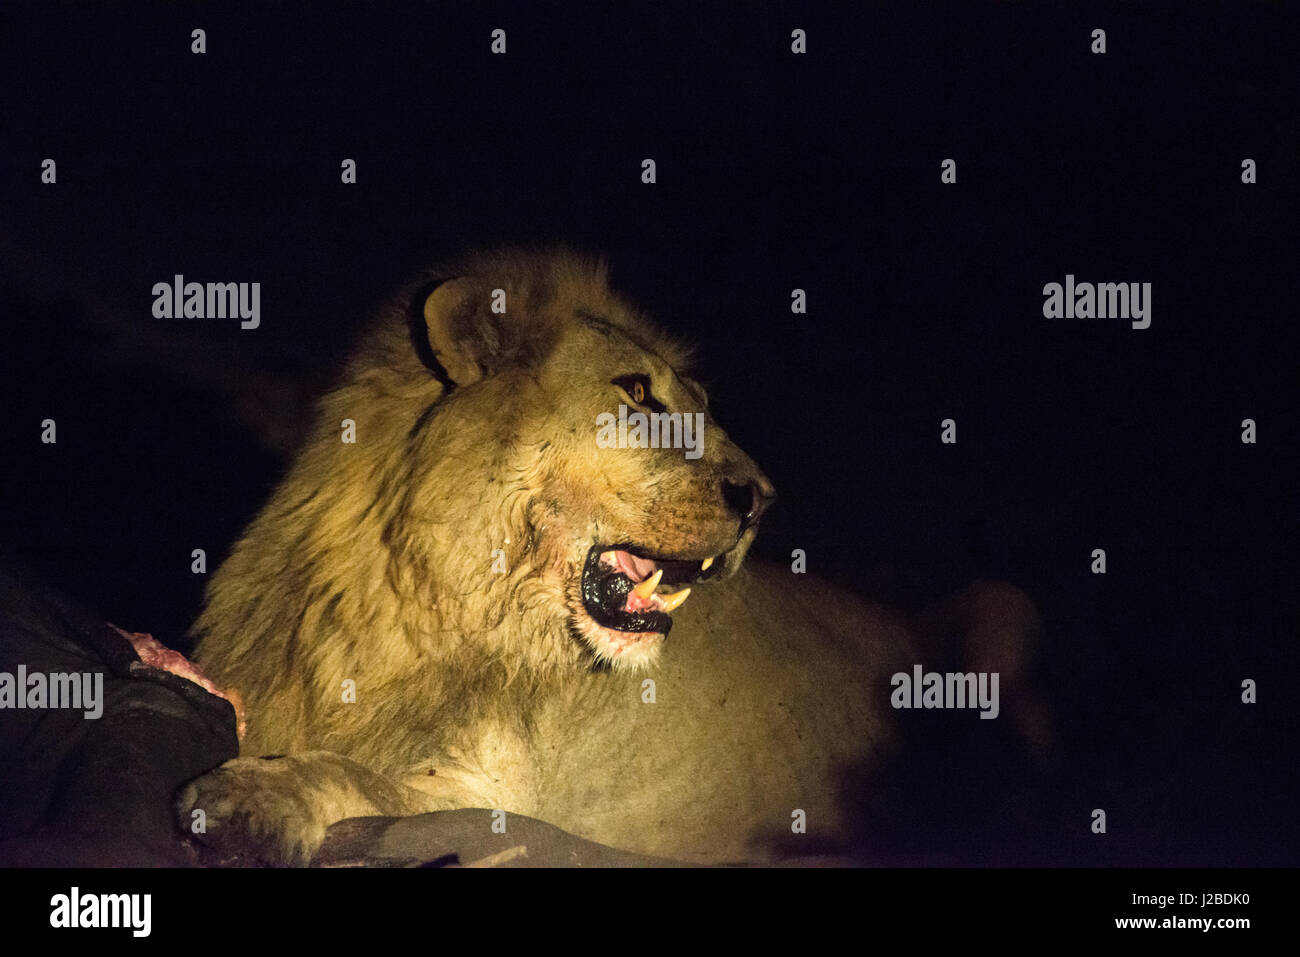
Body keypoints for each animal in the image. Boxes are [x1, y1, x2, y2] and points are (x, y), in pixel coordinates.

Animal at [178, 247, 1050, 865]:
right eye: (637, 393)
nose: (763, 498)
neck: (415, 596)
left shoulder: (496, 790)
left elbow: (359, 776)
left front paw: (255, 801)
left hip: (1004, 602)